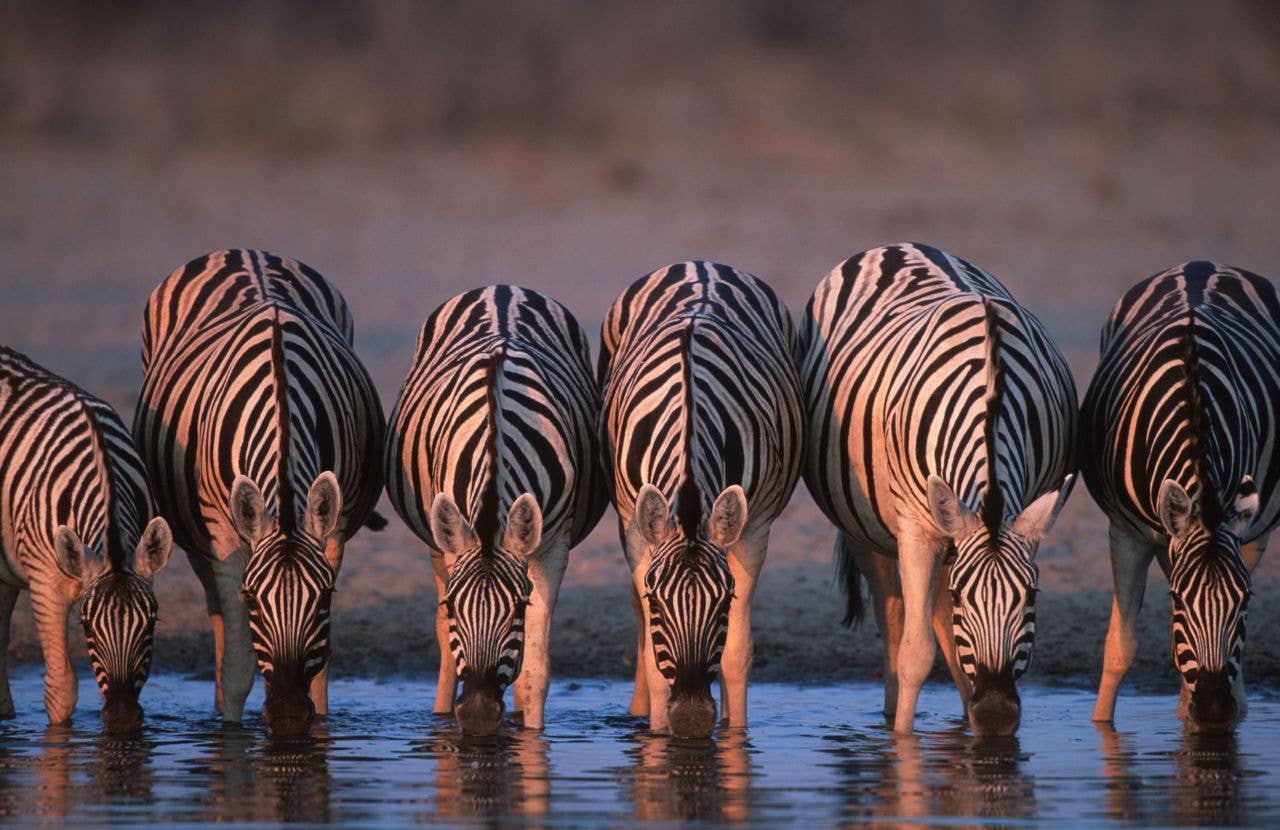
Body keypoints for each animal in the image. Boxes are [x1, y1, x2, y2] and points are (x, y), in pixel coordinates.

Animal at [134, 249, 385, 735]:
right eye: (252, 599)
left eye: (326, 598)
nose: (286, 715)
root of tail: (242, 251)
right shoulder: (221, 530)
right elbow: (237, 663)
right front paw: (230, 732)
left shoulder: (336, 526)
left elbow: (321, 665)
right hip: (194, 533)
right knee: (216, 612)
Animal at [384, 285, 606, 736]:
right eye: (453, 606)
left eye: (519, 608)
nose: (478, 715)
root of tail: (502, 289)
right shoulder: (454, 545)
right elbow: (450, 640)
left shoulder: (553, 545)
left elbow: (535, 670)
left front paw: (532, 738)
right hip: (436, 538)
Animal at [599, 261, 803, 738]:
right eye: (659, 603)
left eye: (725, 601)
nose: (691, 720)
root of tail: (699, 264)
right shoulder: (636, 530)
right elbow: (653, 655)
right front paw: (658, 736)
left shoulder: (755, 528)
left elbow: (737, 653)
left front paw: (734, 736)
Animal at [798, 243, 1077, 736]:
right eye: (968, 597)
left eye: (1031, 596)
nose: (997, 715)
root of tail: (898, 246)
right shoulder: (916, 527)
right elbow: (915, 652)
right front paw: (902, 742)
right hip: (862, 522)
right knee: (894, 617)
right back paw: (891, 716)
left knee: (938, 621)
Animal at [1082, 262, 1280, 732]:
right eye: (1176, 601)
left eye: (1245, 600)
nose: (1213, 713)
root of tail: (1202, 264)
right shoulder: (1126, 533)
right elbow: (1120, 647)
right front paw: (1101, 727)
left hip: (1256, 530)